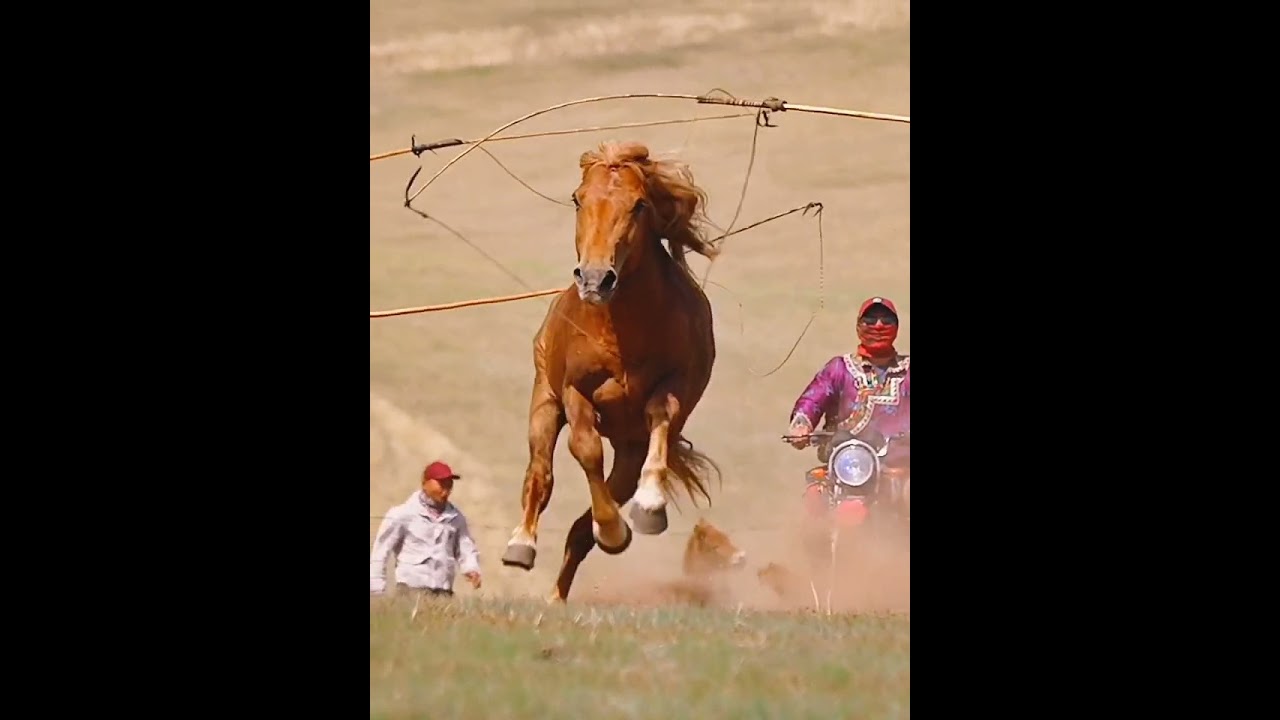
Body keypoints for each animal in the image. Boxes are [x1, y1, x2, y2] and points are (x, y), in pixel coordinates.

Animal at [499, 140, 722, 602]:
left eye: (639, 204)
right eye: (577, 199)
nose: (595, 279)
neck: (622, 333)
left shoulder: (675, 385)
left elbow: (661, 416)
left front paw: (649, 505)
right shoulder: (574, 392)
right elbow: (584, 449)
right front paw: (613, 530)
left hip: (627, 447)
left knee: (584, 525)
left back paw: (559, 591)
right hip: (544, 401)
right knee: (540, 474)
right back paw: (522, 544)